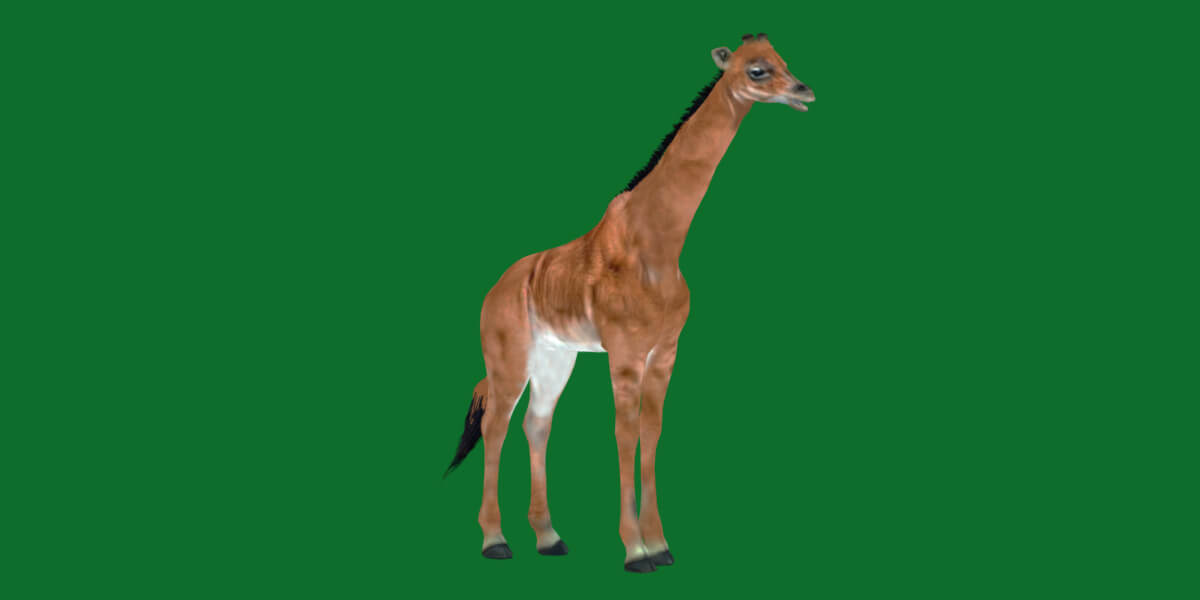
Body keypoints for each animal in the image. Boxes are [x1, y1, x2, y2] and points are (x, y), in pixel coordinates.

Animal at [444, 33, 815, 573]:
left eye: (783, 61)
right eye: (758, 70)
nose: (804, 91)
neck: (658, 246)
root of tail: (493, 290)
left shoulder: (665, 353)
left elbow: (652, 433)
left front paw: (659, 545)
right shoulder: (624, 354)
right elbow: (625, 433)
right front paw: (635, 550)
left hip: (555, 357)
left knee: (536, 424)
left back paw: (549, 537)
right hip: (508, 355)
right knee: (495, 425)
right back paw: (495, 540)